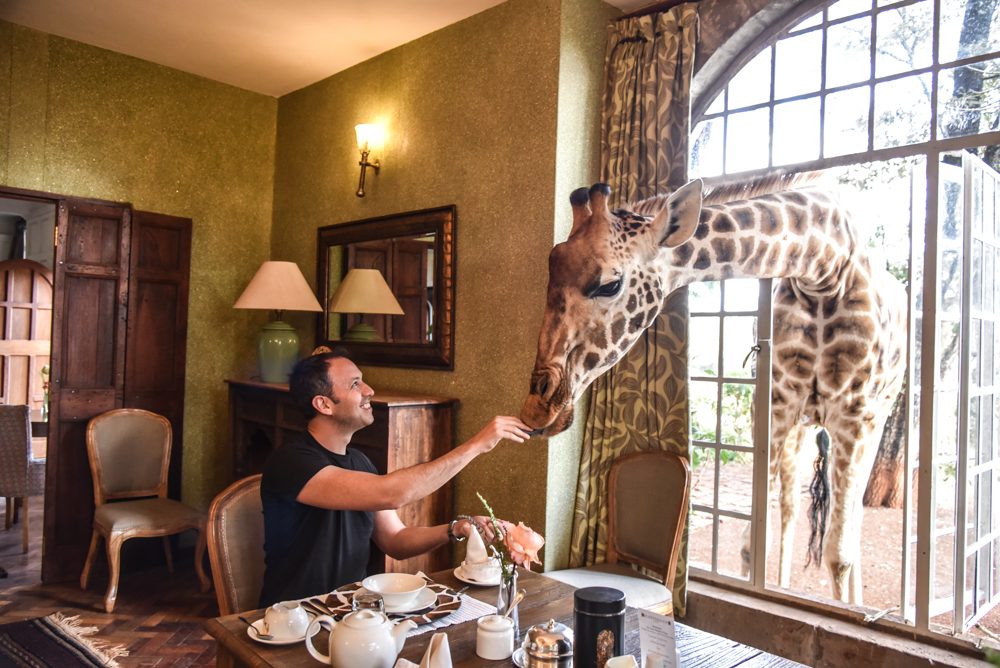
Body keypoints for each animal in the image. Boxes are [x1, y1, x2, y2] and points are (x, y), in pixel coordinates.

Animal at [520, 177, 907, 604]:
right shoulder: (777, 405)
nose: (537, 409)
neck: (824, 266)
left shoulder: (855, 412)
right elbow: (754, 543)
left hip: (874, 416)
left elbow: (838, 555)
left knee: (851, 521)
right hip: (805, 425)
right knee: (791, 507)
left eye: (610, 285)